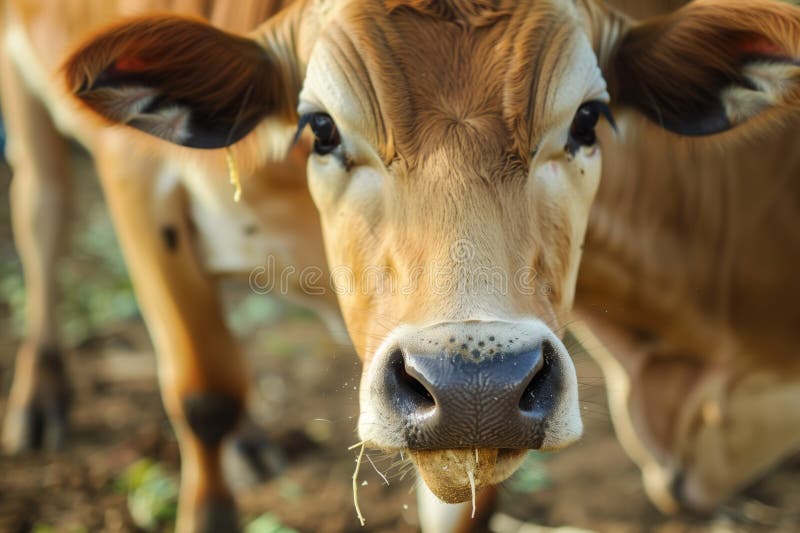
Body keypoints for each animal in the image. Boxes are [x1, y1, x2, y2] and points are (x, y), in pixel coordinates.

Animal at [3, 0, 799, 531]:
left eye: (586, 120)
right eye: (321, 127)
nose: (477, 386)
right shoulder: (136, 178)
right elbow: (206, 397)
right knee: (40, 212)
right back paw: (40, 397)